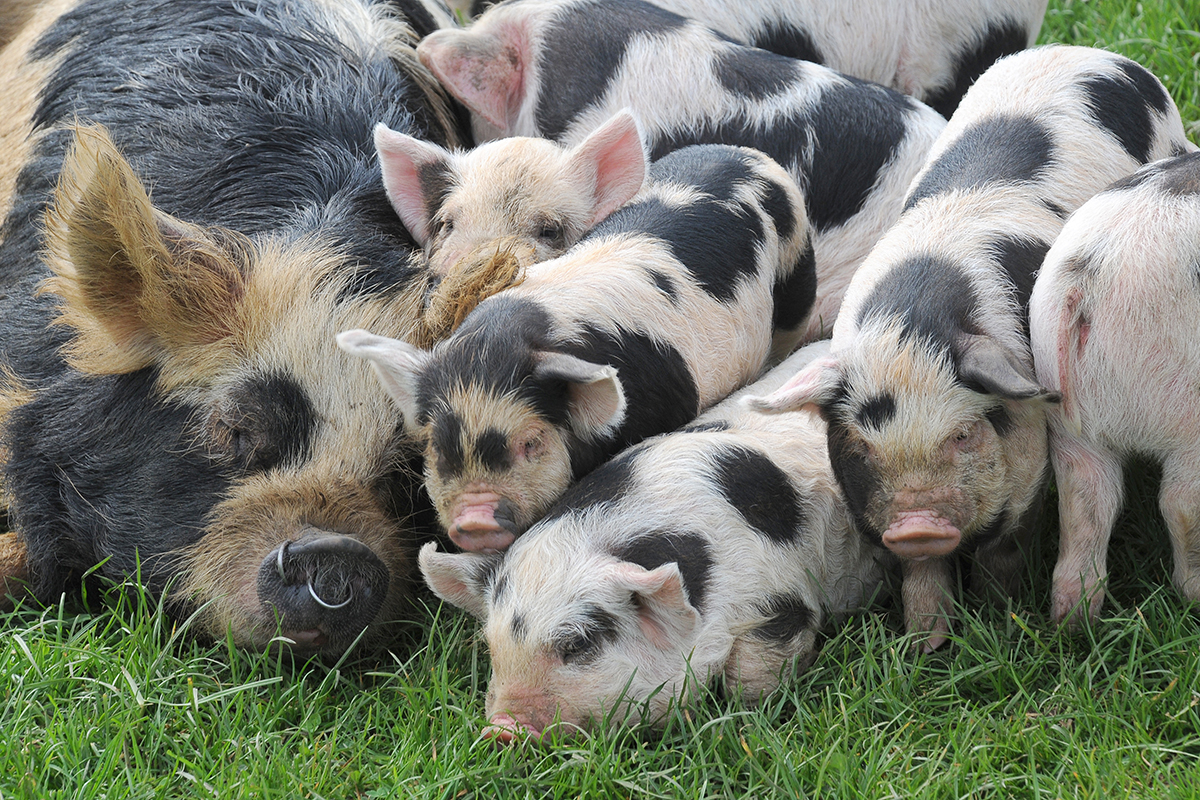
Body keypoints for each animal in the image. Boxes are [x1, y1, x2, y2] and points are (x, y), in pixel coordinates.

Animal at [338, 143, 816, 553]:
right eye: (437, 446)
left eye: (531, 442)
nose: (474, 519)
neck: (497, 345)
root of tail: (742, 152)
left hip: (796, 270)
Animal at [419, 340, 890, 740]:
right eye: (492, 646)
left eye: (577, 644)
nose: (502, 730)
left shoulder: (782, 600)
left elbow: (756, 669)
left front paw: (747, 720)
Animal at [1029, 152, 1200, 625]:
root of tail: (1086, 280)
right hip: (1185, 404)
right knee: (1180, 503)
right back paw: (1195, 598)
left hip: (1064, 410)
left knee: (1085, 499)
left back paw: (1073, 623)